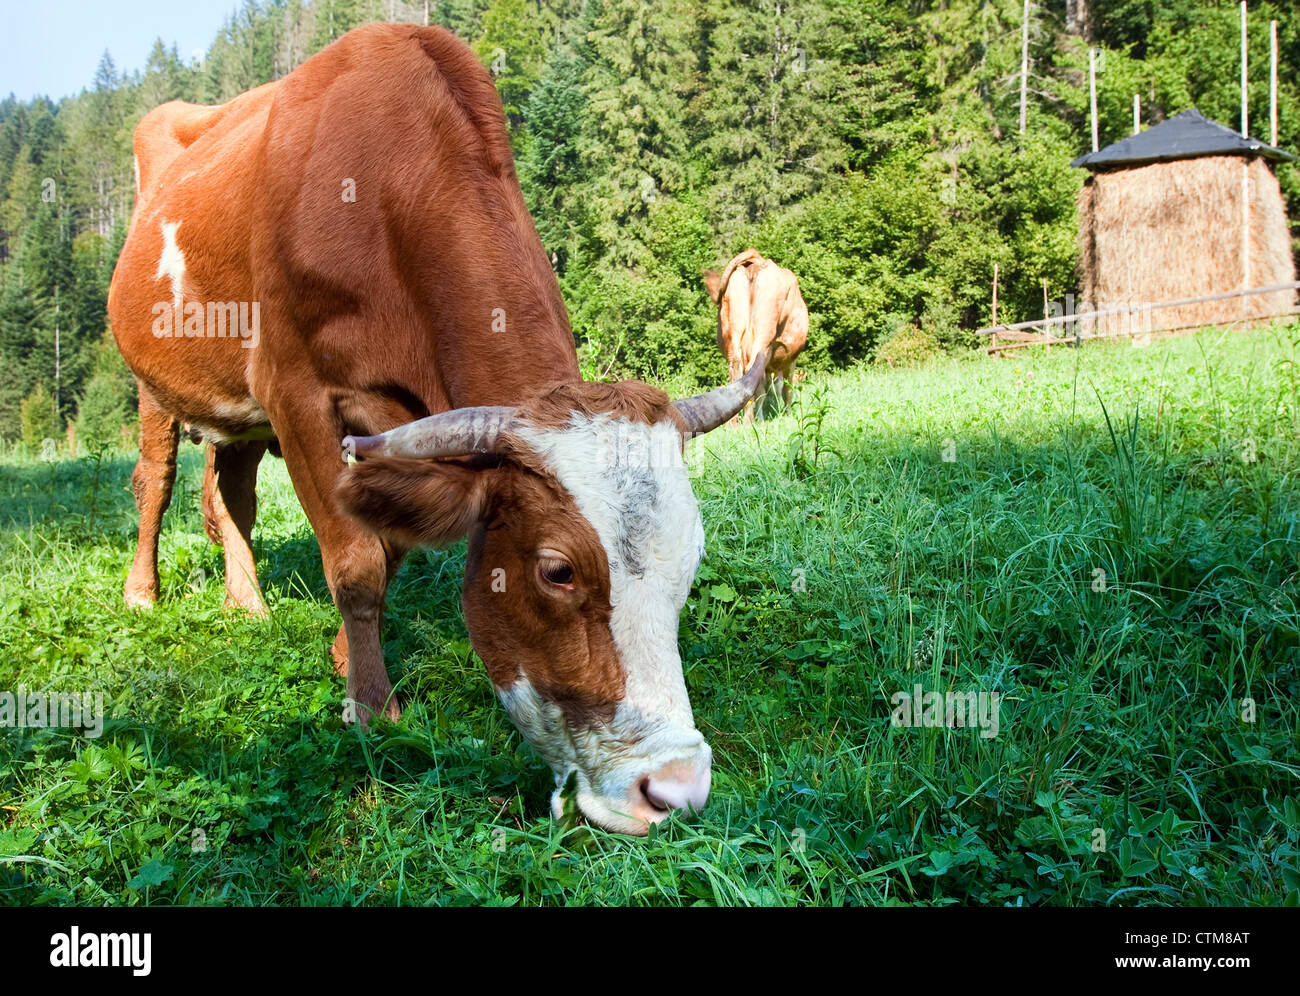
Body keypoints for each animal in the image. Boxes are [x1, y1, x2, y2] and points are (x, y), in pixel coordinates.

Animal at [107, 23, 768, 836]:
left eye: (691, 562)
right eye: (557, 570)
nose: (675, 788)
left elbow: (385, 543)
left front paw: (343, 658)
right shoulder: (294, 389)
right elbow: (355, 562)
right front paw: (368, 706)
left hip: (237, 412)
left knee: (229, 492)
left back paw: (246, 602)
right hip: (157, 384)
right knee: (157, 481)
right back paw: (143, 593)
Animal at [704, 249, 808, 424]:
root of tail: (756, 261)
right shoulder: (791, 360)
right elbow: (786, 389)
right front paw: (789, 415)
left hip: (734, 336)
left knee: (736, 371)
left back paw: (733, 424)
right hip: (763, 337)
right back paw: (750, 421)